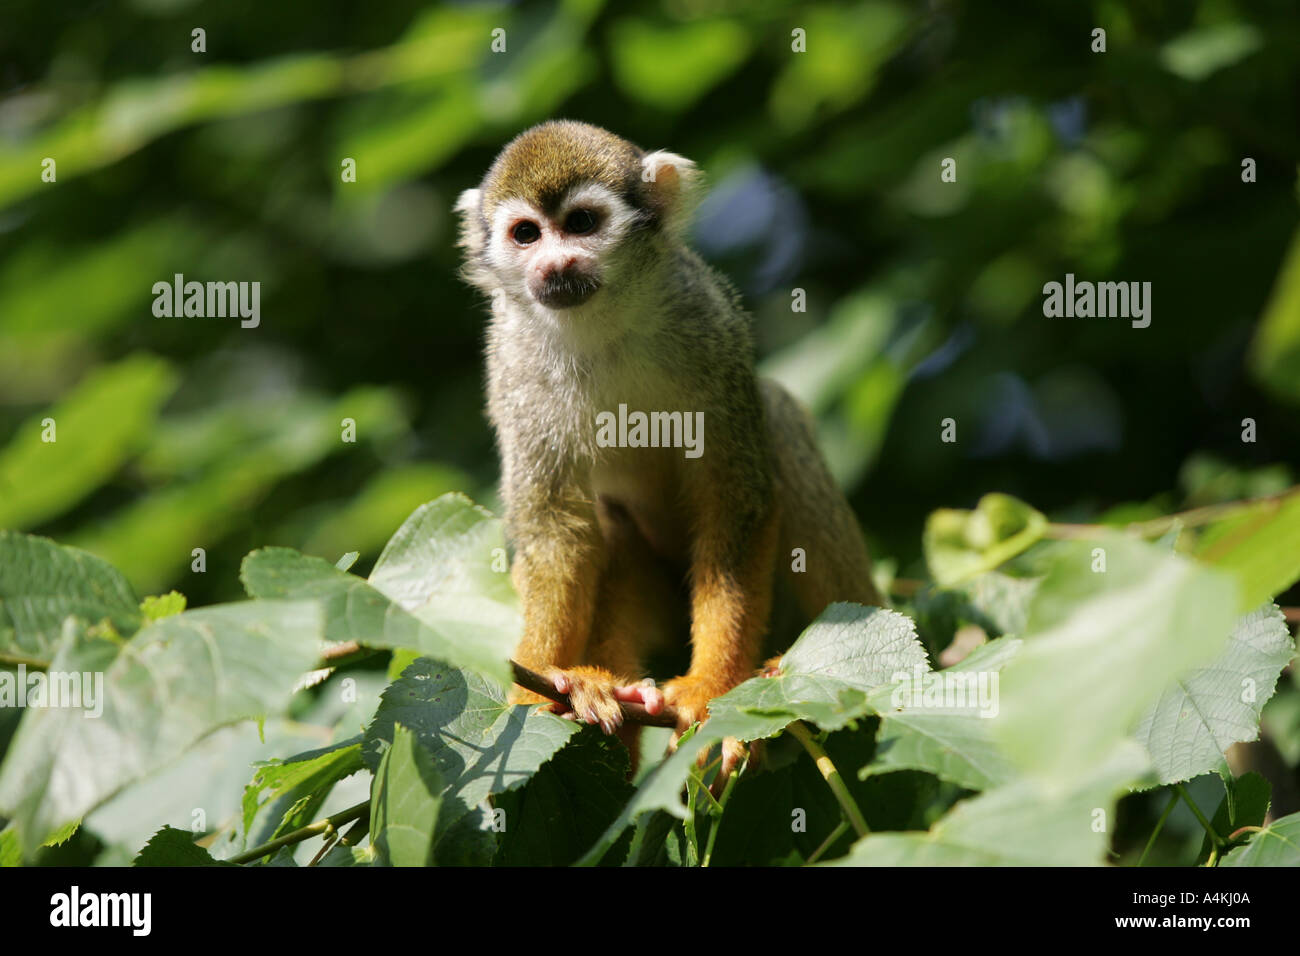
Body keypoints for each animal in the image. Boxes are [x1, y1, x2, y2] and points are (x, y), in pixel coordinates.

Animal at [455, 120, 882, 782]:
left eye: (581, 222)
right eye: (526, 234)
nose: (554, 263)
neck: (600, 326)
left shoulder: (707, 319)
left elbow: (736, 498)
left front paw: (711, 691)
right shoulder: (512, 362)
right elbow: (556, 533)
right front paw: (530, 694)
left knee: (780, 420)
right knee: (607, 521)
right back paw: (602, 691)